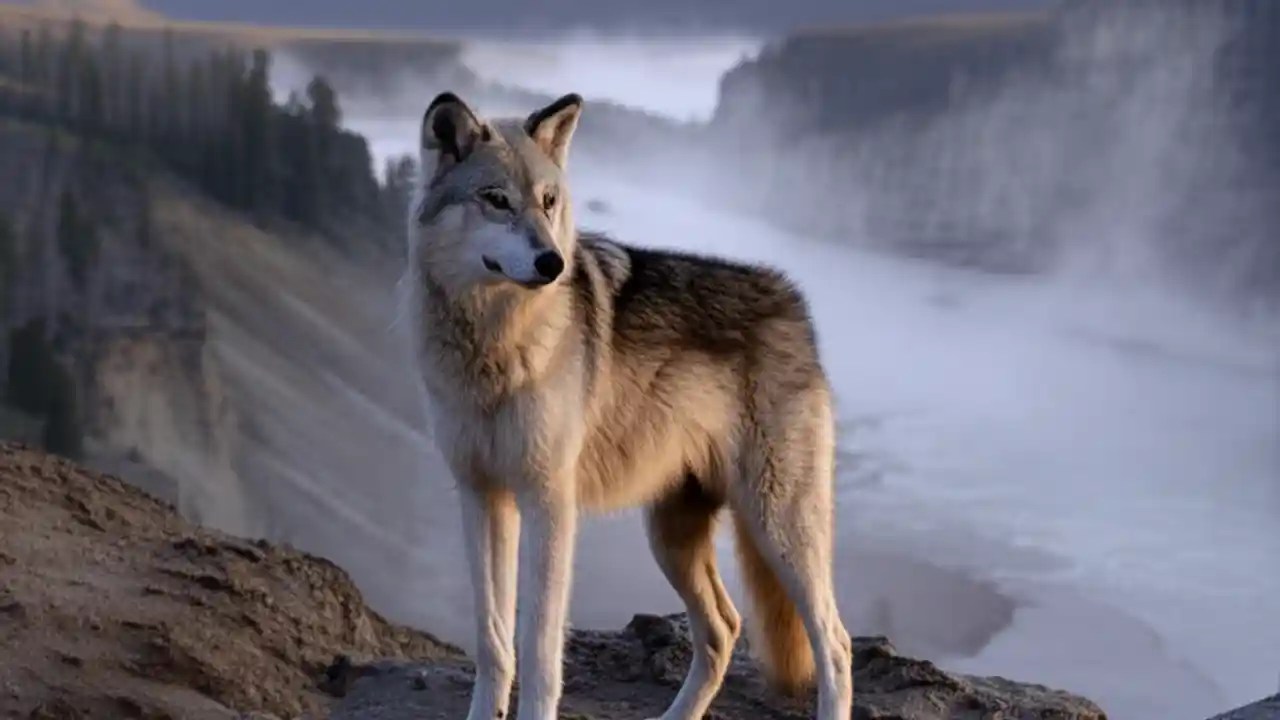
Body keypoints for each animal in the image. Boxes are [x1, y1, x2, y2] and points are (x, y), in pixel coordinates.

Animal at [404, 90, 854, 720]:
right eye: (496, 200)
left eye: (549, 202)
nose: (552, 264)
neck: (493, 341)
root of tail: (793, 301)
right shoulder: (482, 497)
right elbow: (493, 641)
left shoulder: (549, 503)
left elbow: (538, 646)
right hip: (671, 537)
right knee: (725, 627)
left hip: (778, 527)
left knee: (834, 643)